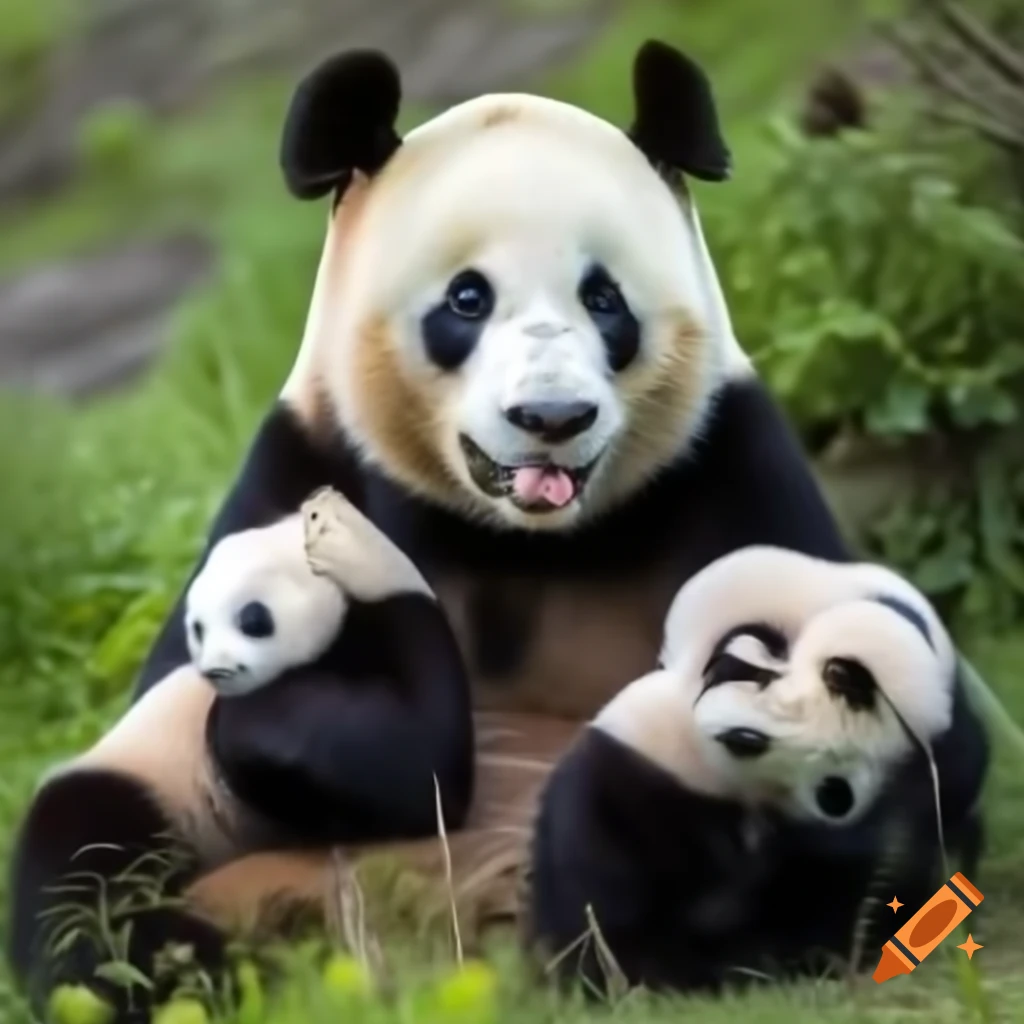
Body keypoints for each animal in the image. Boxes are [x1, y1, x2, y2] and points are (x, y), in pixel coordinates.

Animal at [9, 39, 860, 1019]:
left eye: (605, 300)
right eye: (467, 299)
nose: (550, 416)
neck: (516, 535)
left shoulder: (732, 466)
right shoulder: (302, 465)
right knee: (86, 857)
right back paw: (193, 968)